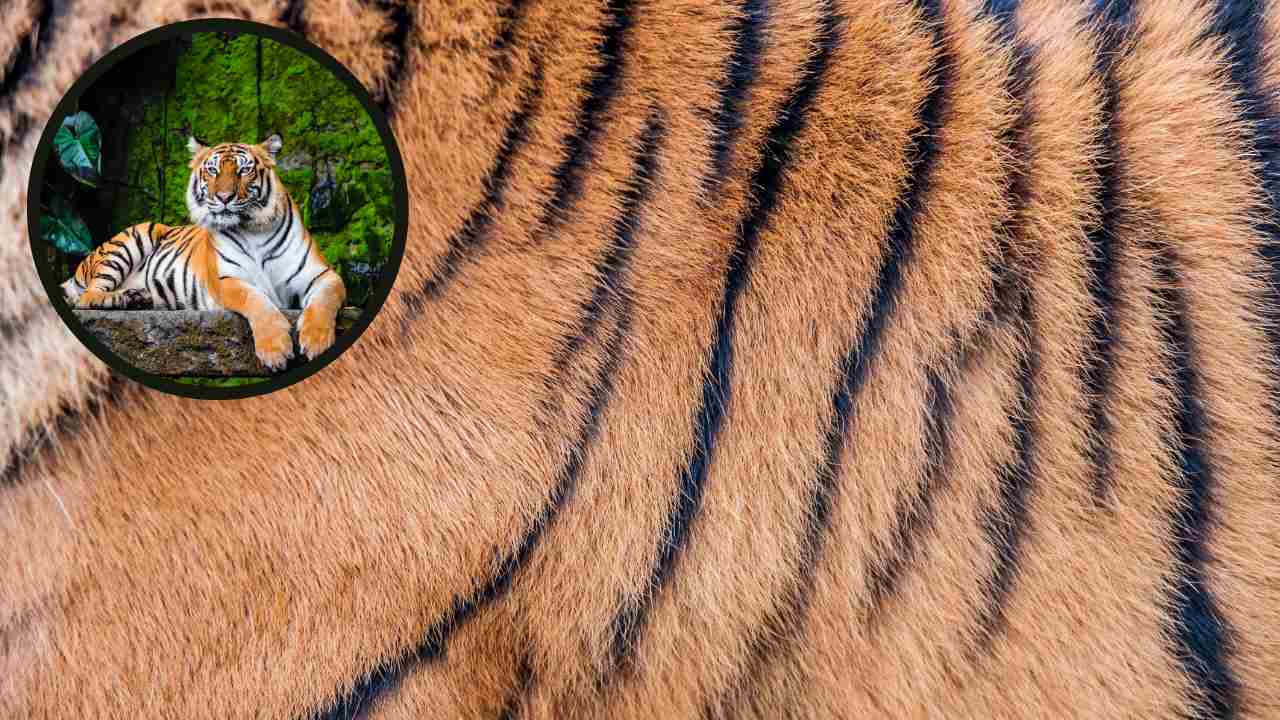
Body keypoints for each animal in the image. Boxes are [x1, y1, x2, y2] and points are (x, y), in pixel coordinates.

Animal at [57, 135, 347, 369]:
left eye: (244, 170)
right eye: (213, 171)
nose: (224, 197)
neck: (254, 229)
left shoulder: (323, 275)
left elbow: (325, 300)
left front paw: (317, 341)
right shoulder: (226, 281)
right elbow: (257, 301)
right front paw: (275, 350)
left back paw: (137, 297)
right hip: (135, 237)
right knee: (88, 297)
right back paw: (126, 298)